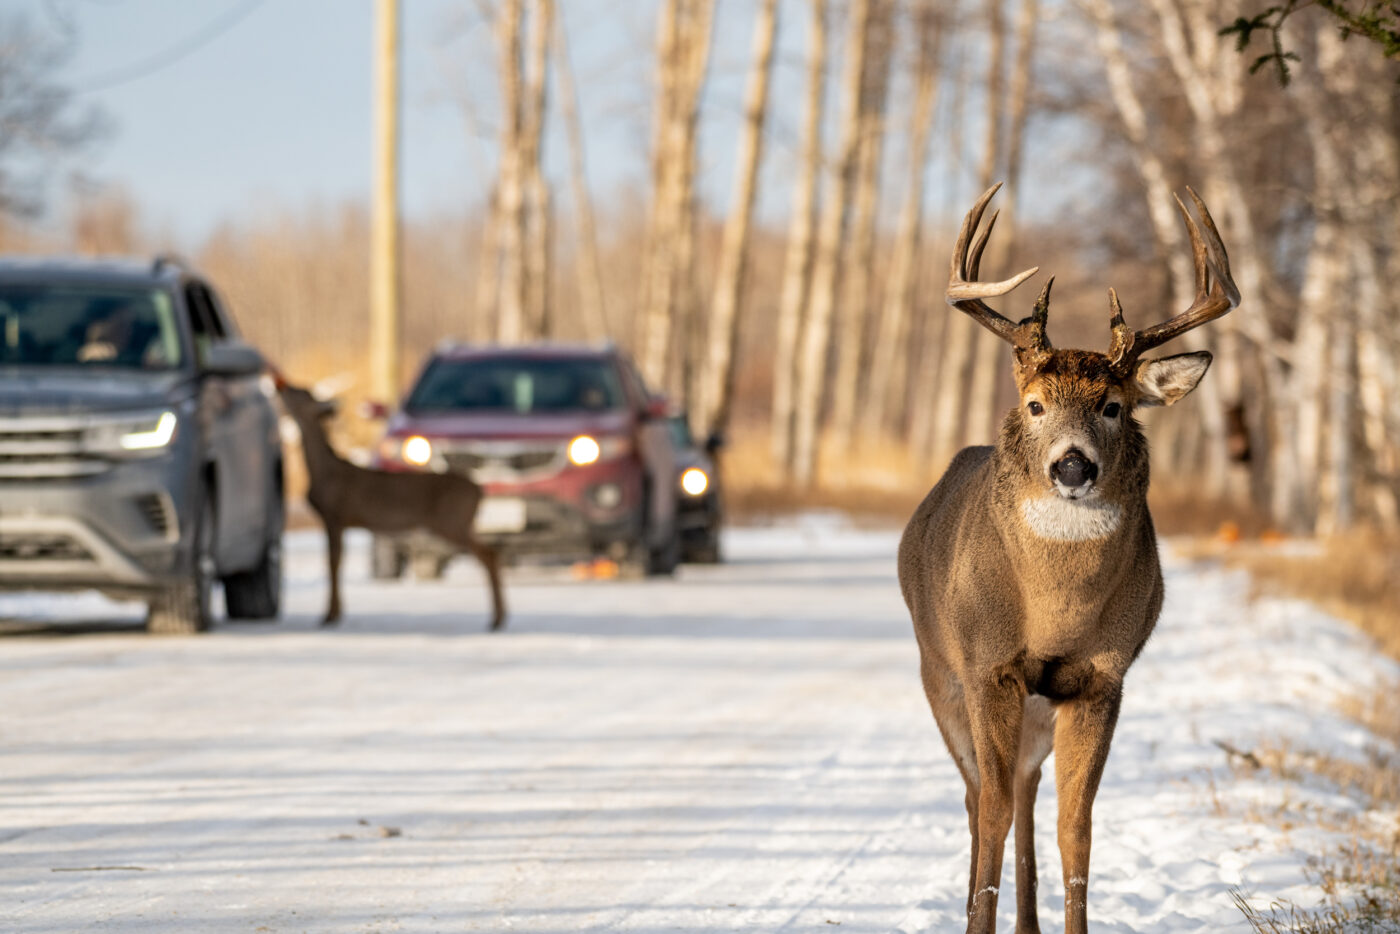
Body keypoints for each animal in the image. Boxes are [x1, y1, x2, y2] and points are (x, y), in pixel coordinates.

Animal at [272, 373, 506, 631]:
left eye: (300, 392)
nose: (280, 383)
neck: (325, 471)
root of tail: (479, 490)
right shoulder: (340, 521)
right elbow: (336, 563)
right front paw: (336, 613)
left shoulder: (335, 515)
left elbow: (333, 563)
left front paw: (329, 616)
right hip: (460, 522)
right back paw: (498, 617)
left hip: (452, 521)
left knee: (489, 554)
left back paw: (497, 620)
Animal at [897, 183, 1239, 934]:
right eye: (1034, 404)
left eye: (1112, 406)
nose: (1073, 465)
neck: (1054, 612)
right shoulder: (989, 667)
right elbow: (991, 813)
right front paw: (977, 920)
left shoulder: (1100, 679)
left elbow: (1075, 826)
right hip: (939, 673)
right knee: (979, 799)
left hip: (1035, 707)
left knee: (1025, 789)